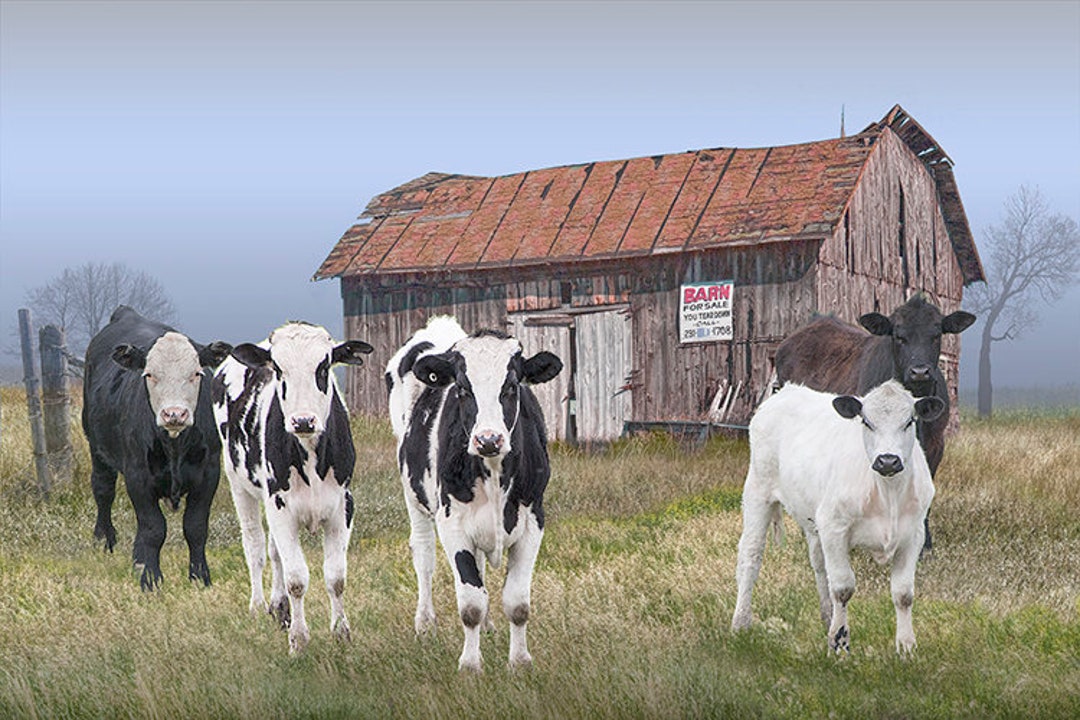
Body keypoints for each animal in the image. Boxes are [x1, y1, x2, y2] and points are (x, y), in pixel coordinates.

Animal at [82, 305, 232, 590]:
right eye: (149, 374)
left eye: (196, 373)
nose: (174, 414)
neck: (174, 445)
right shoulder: (138, 476)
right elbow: (153, 528)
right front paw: (150, 579)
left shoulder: (208, 473)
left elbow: (195, 527)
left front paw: (200, 577)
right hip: (97, 448)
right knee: (103, 491)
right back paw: (104, 540)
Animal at [211, 321, 373, 654]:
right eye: (279, 369)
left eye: (323, 366)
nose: (303, 421)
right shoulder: (280, 508)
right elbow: (297, 579)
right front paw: (299, 641)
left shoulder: (343, 506)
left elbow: (336, 577)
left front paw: (341, 634)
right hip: (239, 485)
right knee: (256, 546)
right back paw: (259, 606)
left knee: (274, 553)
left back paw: (279, 607)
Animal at [387, 316, 563, 672]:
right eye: (463, 389)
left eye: (511, 387)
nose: (488, 439)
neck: (494, 472)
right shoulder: (451, 522)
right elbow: (470, 604)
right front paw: (470, 665)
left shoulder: (533, 520)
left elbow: (517, 603)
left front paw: (520, 662)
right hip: (413, 496)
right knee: (423, 556)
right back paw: (425, 623)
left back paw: (489, 627)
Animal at [731, 381, 944, 655]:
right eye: (866, 421)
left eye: (909, 421)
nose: (887, 460)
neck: (887, 493)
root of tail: (787, 390)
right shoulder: (834, 527)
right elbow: (843, 588)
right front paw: (840, 646)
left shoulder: (913, 534)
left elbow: (903, 594)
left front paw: (906, 648)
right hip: (758, 491)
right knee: (751, 556)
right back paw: (740, 623)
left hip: (813, 518)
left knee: (819, 565)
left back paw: (827, 618)